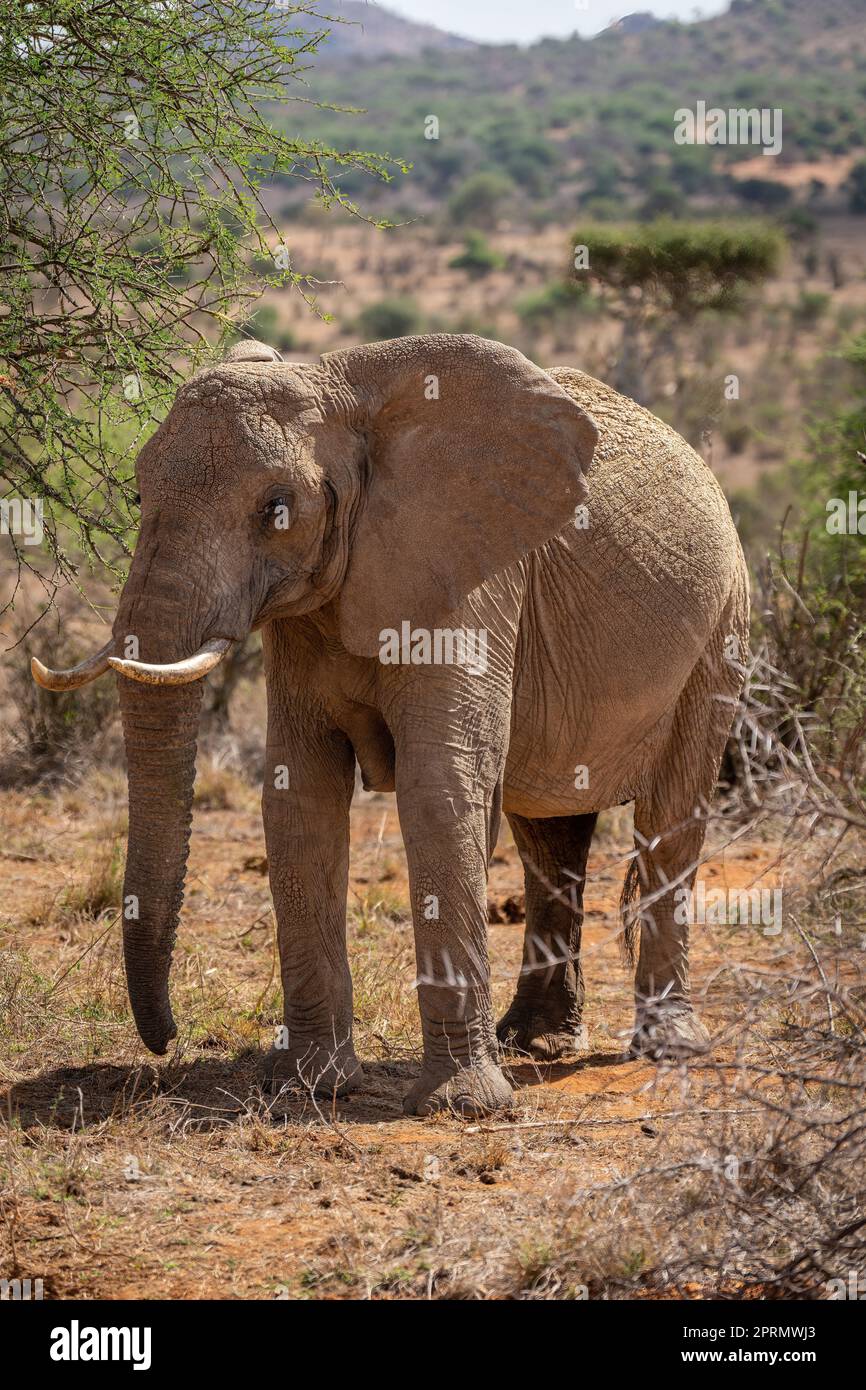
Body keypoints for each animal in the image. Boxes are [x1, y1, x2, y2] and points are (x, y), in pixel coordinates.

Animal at [33, 333, 749, 1117]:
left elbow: (440, 788)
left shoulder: (467, 573)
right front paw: (310, 1086)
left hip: (722, 628)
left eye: (276, 508)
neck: (340, 390)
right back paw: (534, 1043)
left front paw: (463, 1106)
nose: (167, 1038)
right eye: (137, 495)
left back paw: (665, 1048)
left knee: (672, 813)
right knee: (549, 832)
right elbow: (299, 797)